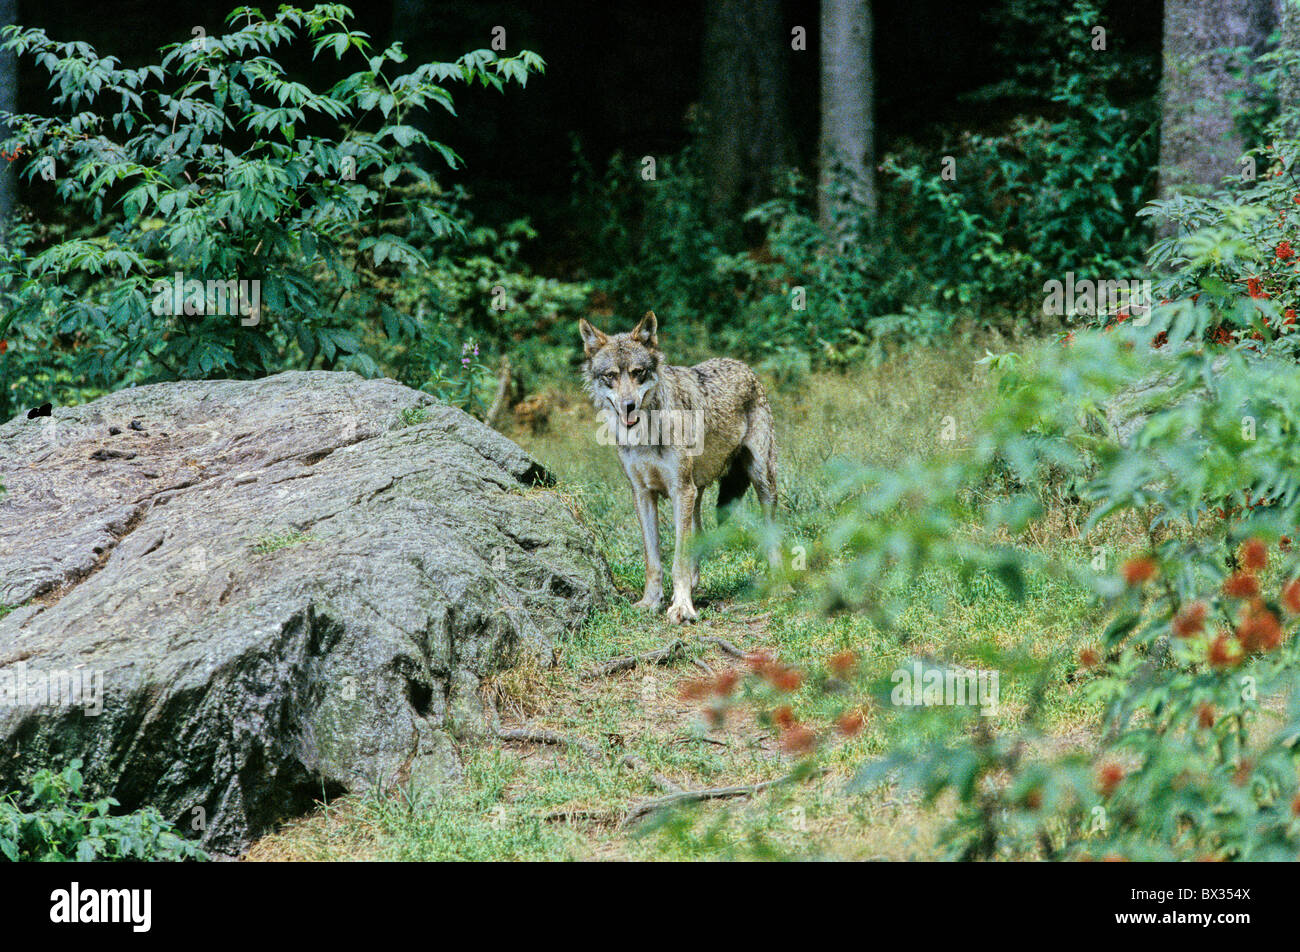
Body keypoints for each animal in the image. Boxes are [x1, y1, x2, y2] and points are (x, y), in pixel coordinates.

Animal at [580, 310, 782, 624]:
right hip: (696, 493)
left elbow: (678, 560)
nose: (628, 406)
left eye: (638, 372)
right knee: (698, 534)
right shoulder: (643, 494)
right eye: (610, 376)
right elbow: (653, 560)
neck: (647, 434)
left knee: (771, 532)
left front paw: (682, 607)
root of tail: (742, 365)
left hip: (761, 480)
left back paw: (779, 583)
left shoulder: (679, 491)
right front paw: (651, 601)